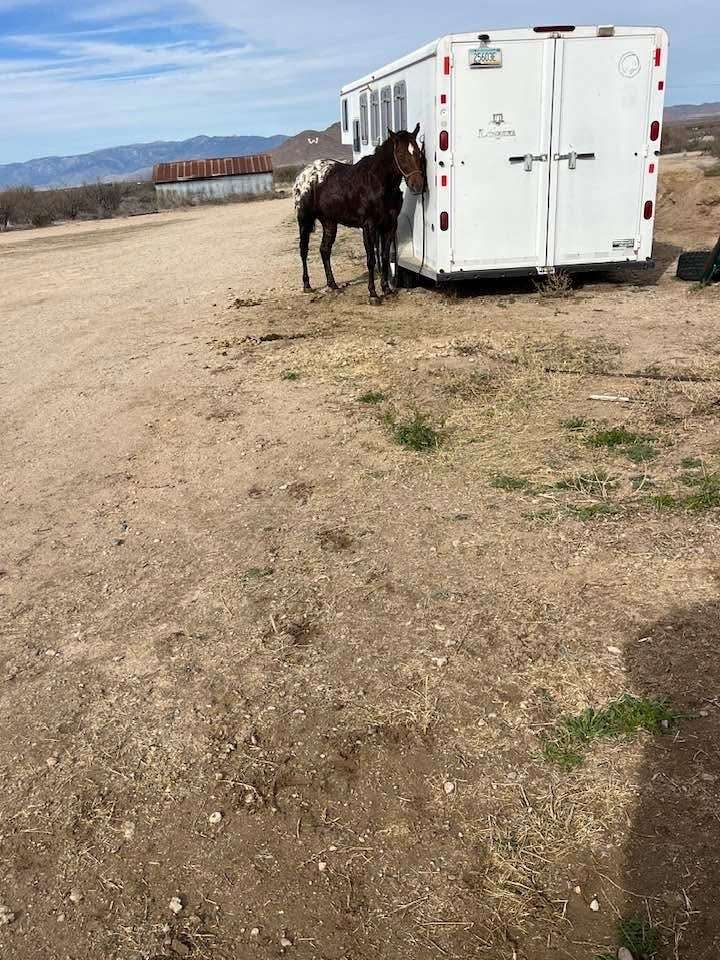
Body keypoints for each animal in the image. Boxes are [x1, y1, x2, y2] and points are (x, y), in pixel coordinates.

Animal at [293, 125, 425, 303]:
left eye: (418, 152)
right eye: (400, 154)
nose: (417, 185)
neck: (378, 182)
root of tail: (303, 175)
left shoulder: (390, 225)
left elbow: (384, 257)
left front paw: (386, 289)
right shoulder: (368, 226)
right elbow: (371, 259)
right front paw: (373, 294)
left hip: (329, 222)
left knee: (324, 250)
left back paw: (333, 284)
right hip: (304, 220)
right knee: (304, 250)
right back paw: (307, 285)